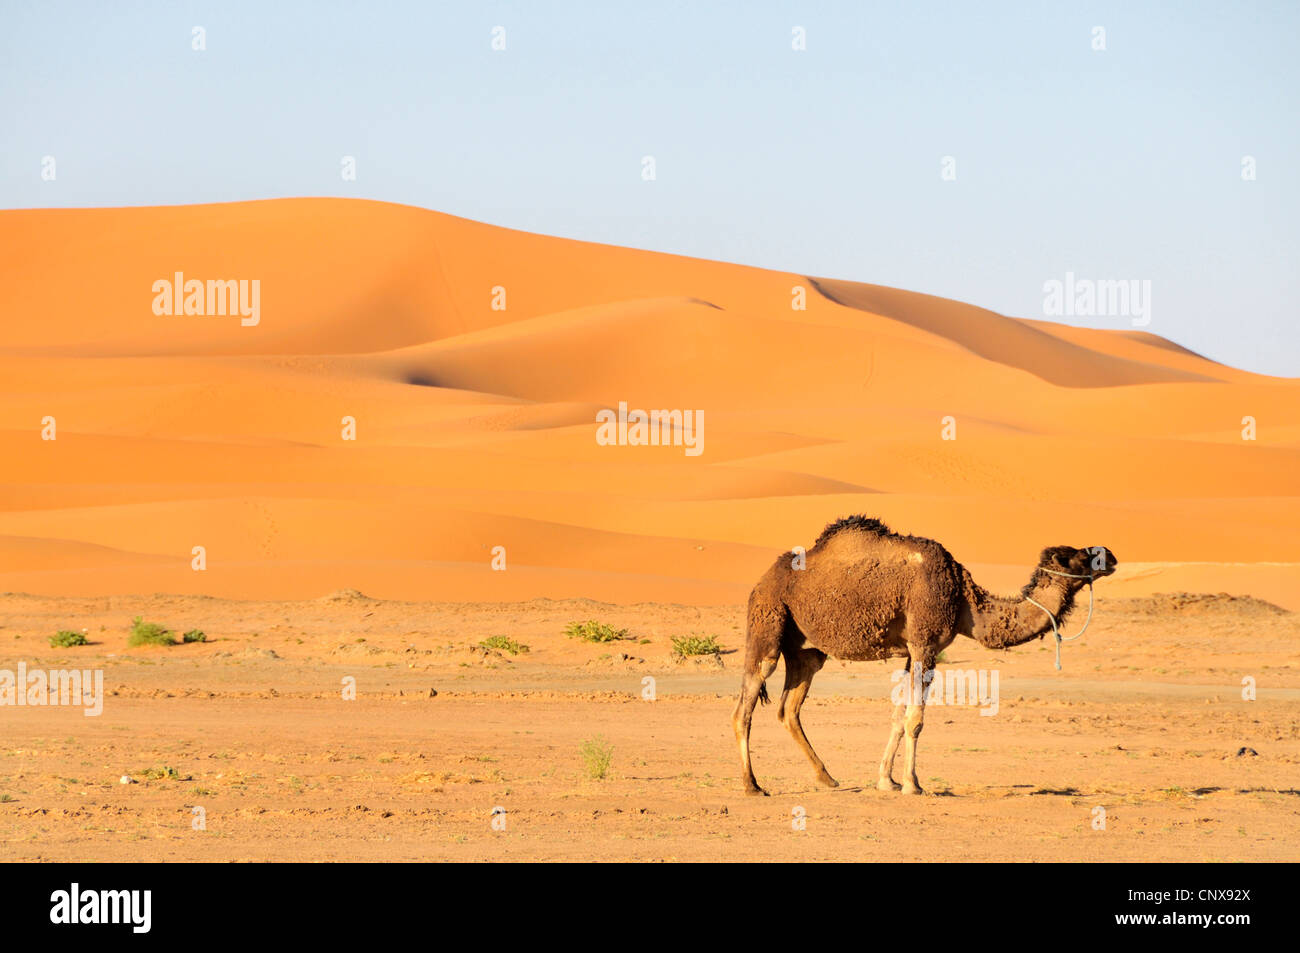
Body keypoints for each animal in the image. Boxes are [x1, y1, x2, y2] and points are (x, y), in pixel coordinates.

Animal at [732, 515, 1117, 796]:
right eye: (1078, 556)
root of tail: (762, 581)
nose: (1110, 555)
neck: (963, 600)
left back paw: (827, 778)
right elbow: (915, 720)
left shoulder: (910, 650)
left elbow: (898, 715)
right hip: (768, 619)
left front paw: (887, 781)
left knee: (789, 708)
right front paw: (913, 785)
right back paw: (753, 786)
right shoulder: (925, 643)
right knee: (745, 705)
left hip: (806, 650)